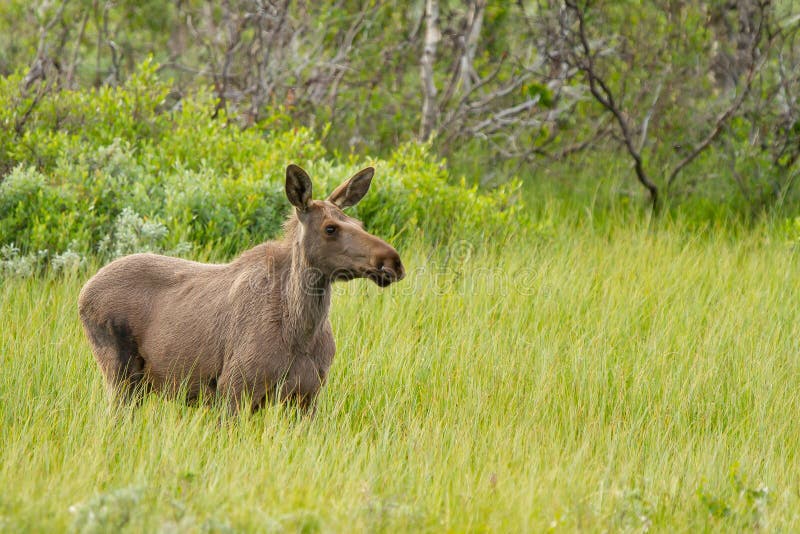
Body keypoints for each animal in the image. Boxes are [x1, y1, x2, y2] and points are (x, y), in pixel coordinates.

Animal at [78, 164, 405, 414]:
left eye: (359, 223)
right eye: (330, 228)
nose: (392, 262)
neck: (300, 331)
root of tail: (83, 293)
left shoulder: (307, 397)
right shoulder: (235, 389)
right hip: (120, 376)